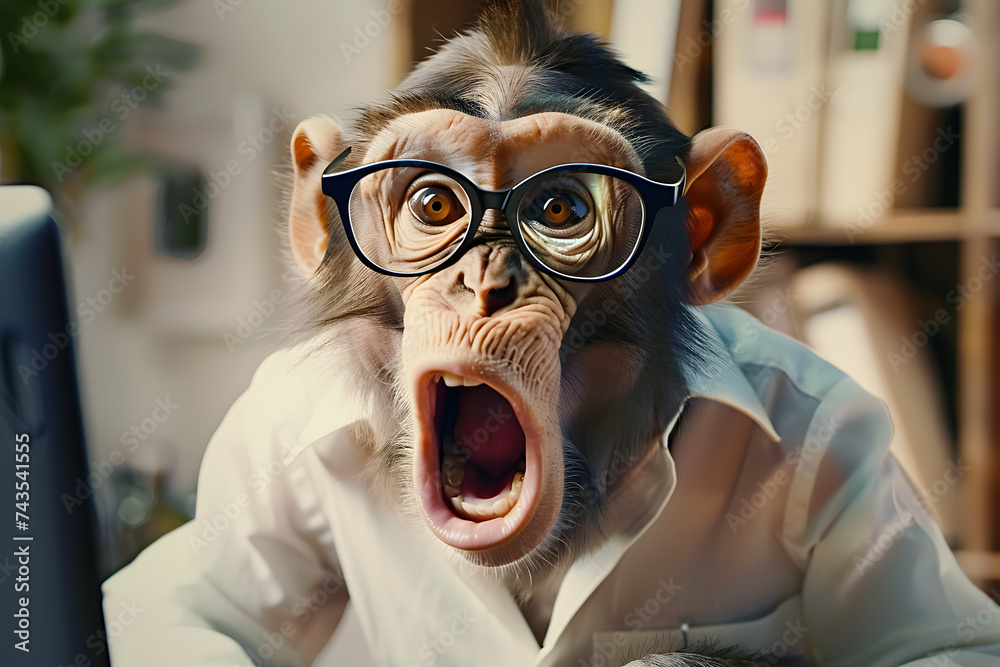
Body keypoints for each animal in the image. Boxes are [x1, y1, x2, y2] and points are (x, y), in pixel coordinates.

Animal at [101, 1, 1000, 666]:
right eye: (435, 203)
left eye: (561, 208)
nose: (486, 286)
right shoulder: (272, 421)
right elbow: (184, 606)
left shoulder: (838, 434)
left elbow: (942, 644)